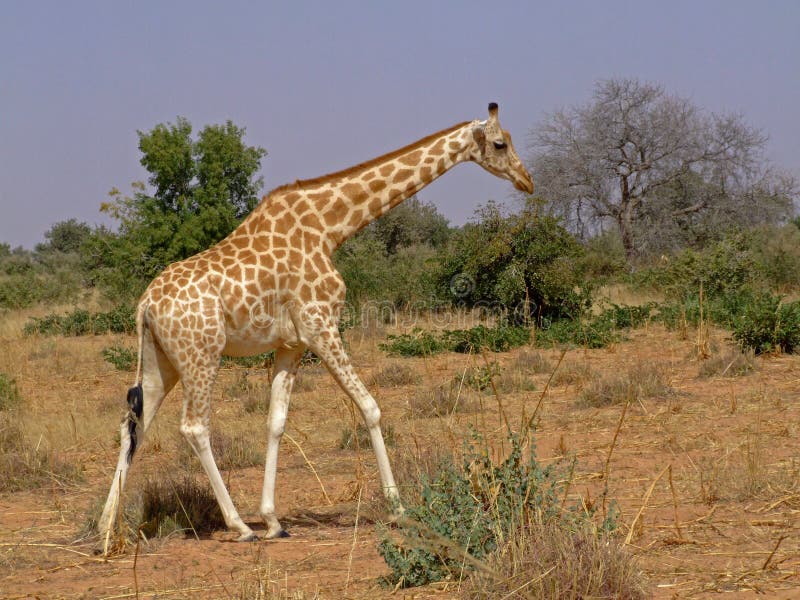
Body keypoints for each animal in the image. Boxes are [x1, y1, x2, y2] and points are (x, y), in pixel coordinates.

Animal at [96, 103, 533, 553]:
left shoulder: (291, 343)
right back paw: (239, 525)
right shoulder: (320, 324)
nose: (527, 180)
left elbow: (276, 422)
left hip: (161, 360)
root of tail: (145, 305)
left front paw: (274, 520)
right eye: (500, 143)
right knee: (194, 426)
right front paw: (399, 508)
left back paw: (105, 532)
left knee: (133, 423)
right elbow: (370, 407)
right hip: (202, 354)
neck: (330, 227)